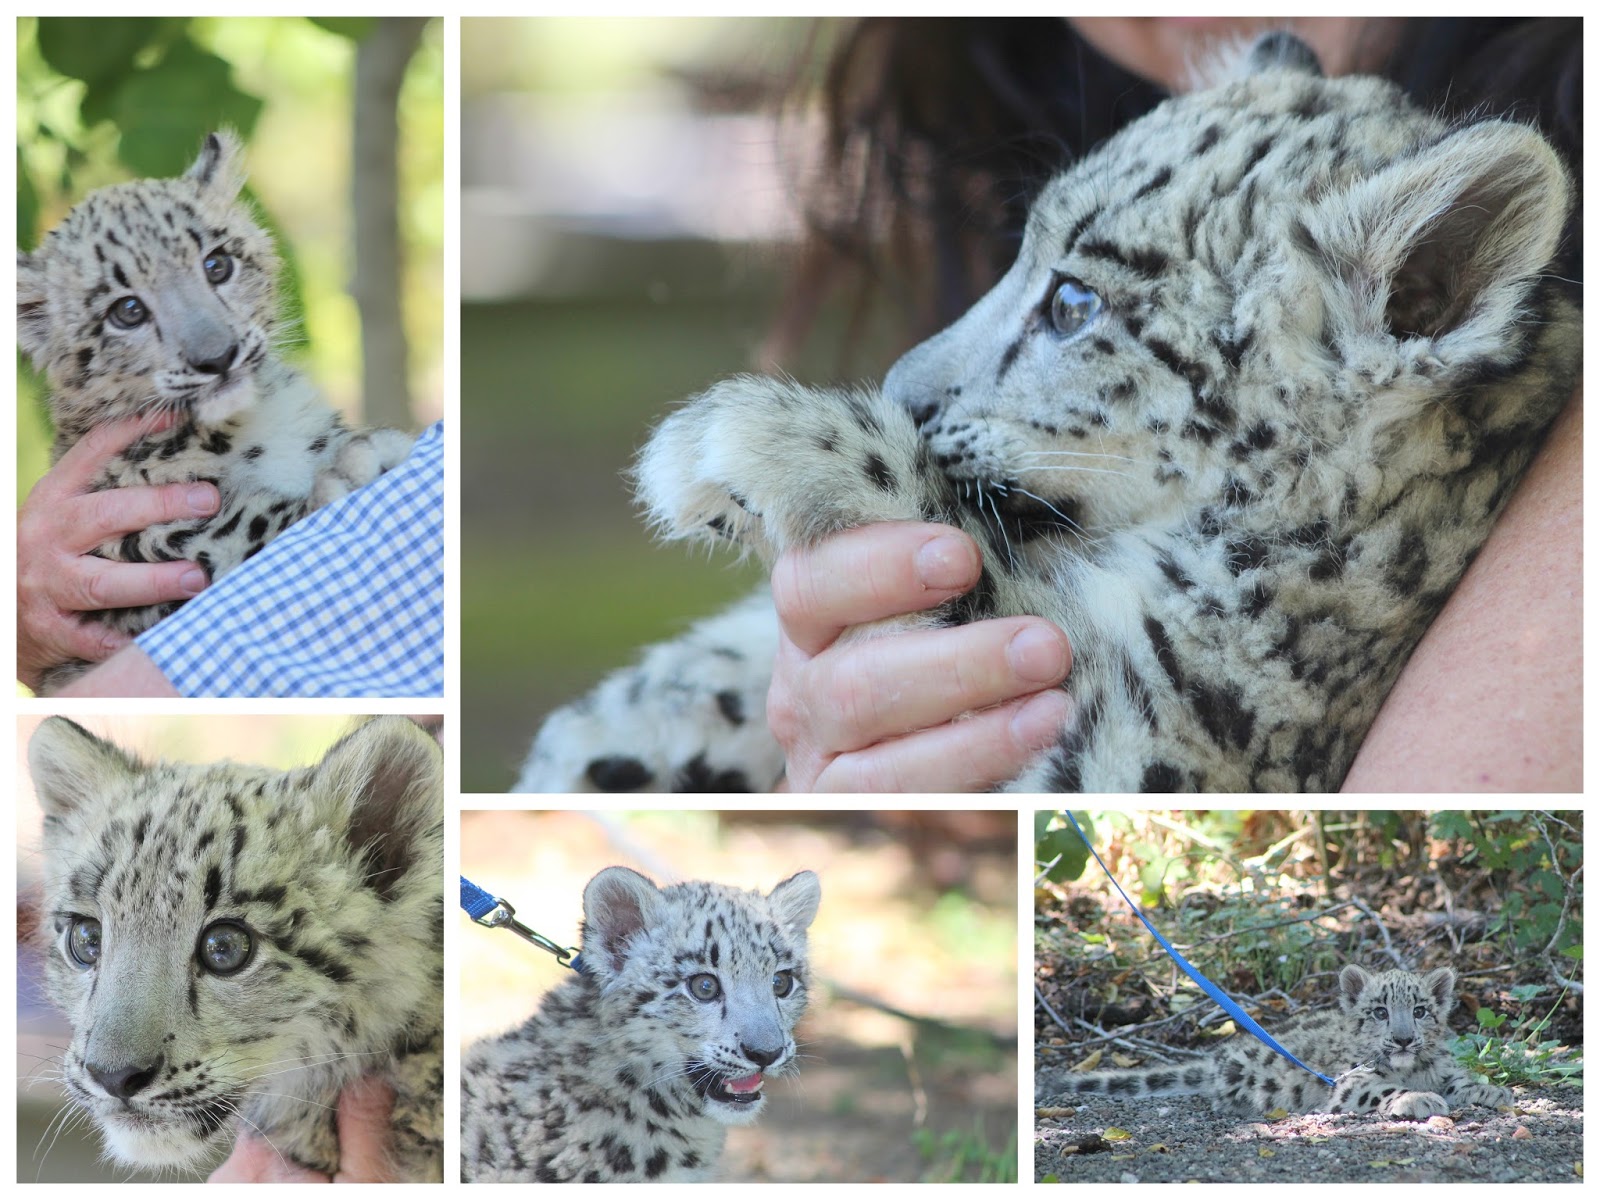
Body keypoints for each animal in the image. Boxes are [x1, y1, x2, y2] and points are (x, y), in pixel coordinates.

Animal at [17, 130, 416, 693]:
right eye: (127, 310)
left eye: (217, 263)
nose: (217, 355)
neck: (257, 425)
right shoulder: (148, 536)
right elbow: (247, 530)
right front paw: (355, 468)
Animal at [515, 32, 1580, 794]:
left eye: (1074, 304)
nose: (900, 386)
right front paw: (609, 737)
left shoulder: (1189, 738)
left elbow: (995, 591)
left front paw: (750, 438)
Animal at [1037, 964, 1513, 1120]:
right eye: (1380, 1011)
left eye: (1419, 1011)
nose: (1402, 1039)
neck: (1412, 1069)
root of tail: (1216, 1058)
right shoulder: (1350, 1081)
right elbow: (1383, 1088)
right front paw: (1417, 1099)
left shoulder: (1442, 1068)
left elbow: (1460, 1079)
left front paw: (1493, 1090)